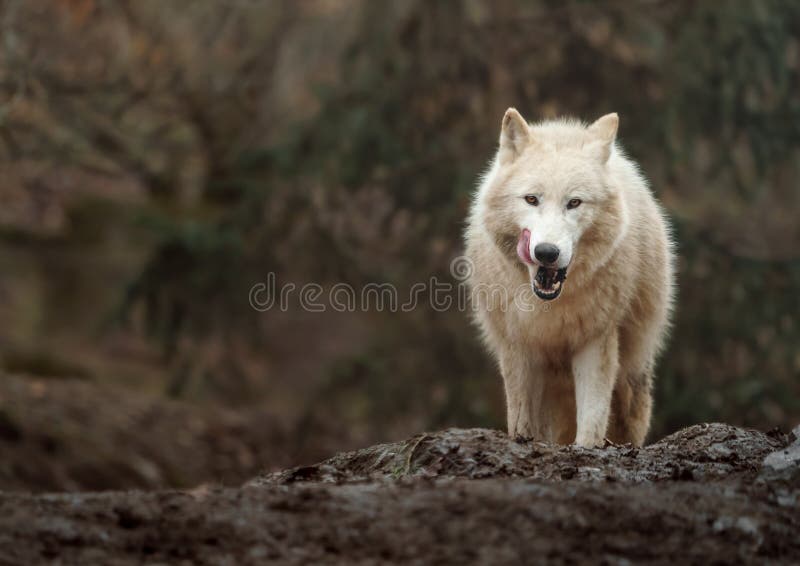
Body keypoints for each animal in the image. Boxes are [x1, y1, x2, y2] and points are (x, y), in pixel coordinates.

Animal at [465, 108, 674, 447]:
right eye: (531, 199)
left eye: (574, 202)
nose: (546, 252)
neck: (549, 306)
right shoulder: (518, 347)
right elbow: (521, 419)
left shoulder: (595, 340)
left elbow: (592, 417)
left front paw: (588, 448)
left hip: (632, 377)